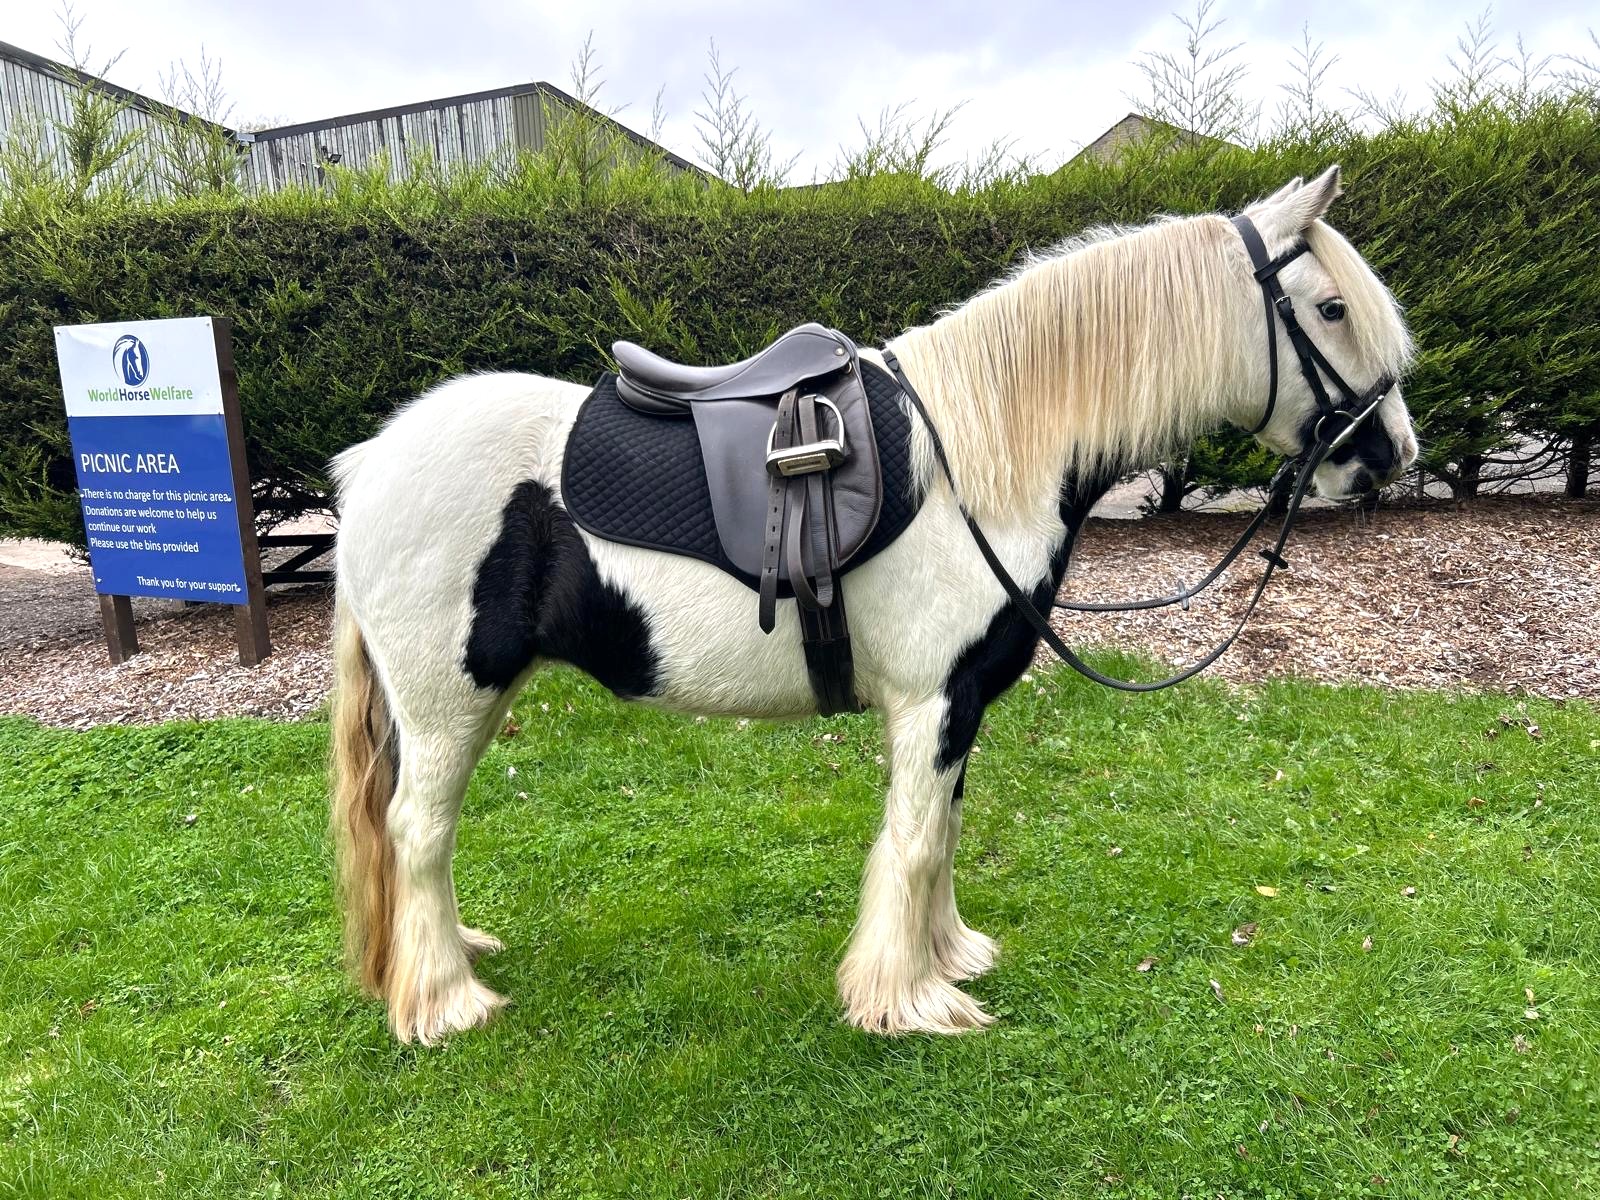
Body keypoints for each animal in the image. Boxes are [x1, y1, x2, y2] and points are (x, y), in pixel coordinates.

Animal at [328, 166, 1418, 1045]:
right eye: (1328, 308)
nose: (1389, 454)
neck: (982, 459)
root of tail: (371, 462)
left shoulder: (961, 705)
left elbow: (944, 830)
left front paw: (950, 955)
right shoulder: (934, 701)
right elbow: (918, 837)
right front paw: (907, 1000)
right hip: (450, 701)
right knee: (416, 829)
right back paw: (444, 1001)